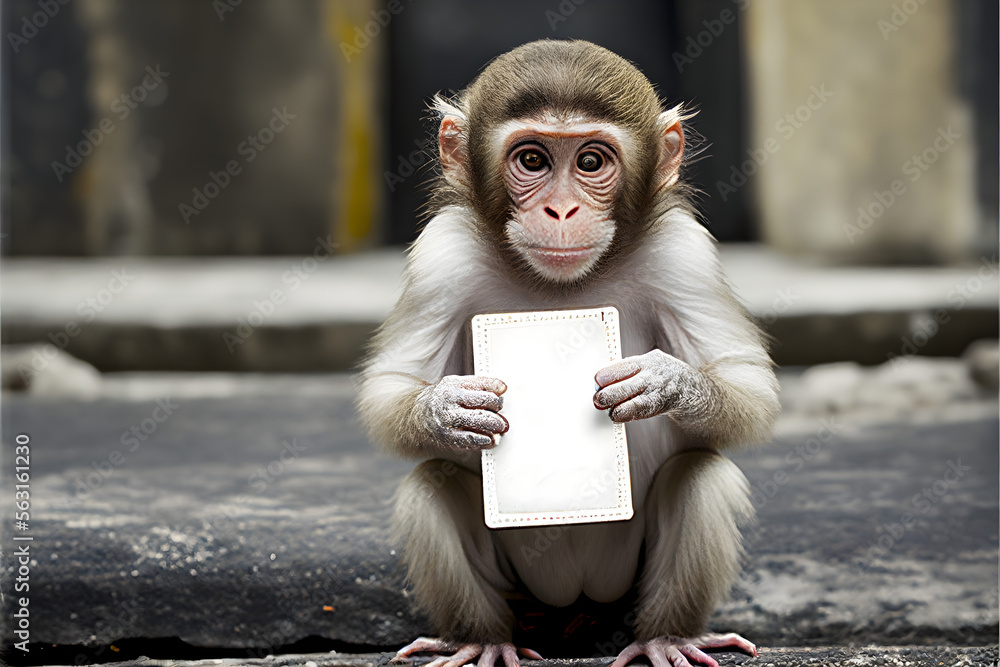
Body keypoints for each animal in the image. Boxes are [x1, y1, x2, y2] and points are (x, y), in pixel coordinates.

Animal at [358, 40, 779, 667]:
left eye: (591, 163)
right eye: (533, 161)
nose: (560, 211)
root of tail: (575, 607)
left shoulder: (685, 254)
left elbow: (749, 384)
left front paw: (664, 382)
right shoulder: (443, 257)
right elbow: (388, 388)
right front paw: (450, 407)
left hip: (622, 585)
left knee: (703, 476)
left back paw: (666, 637)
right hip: (526, 595)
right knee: (428, 488)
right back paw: (484, 640)